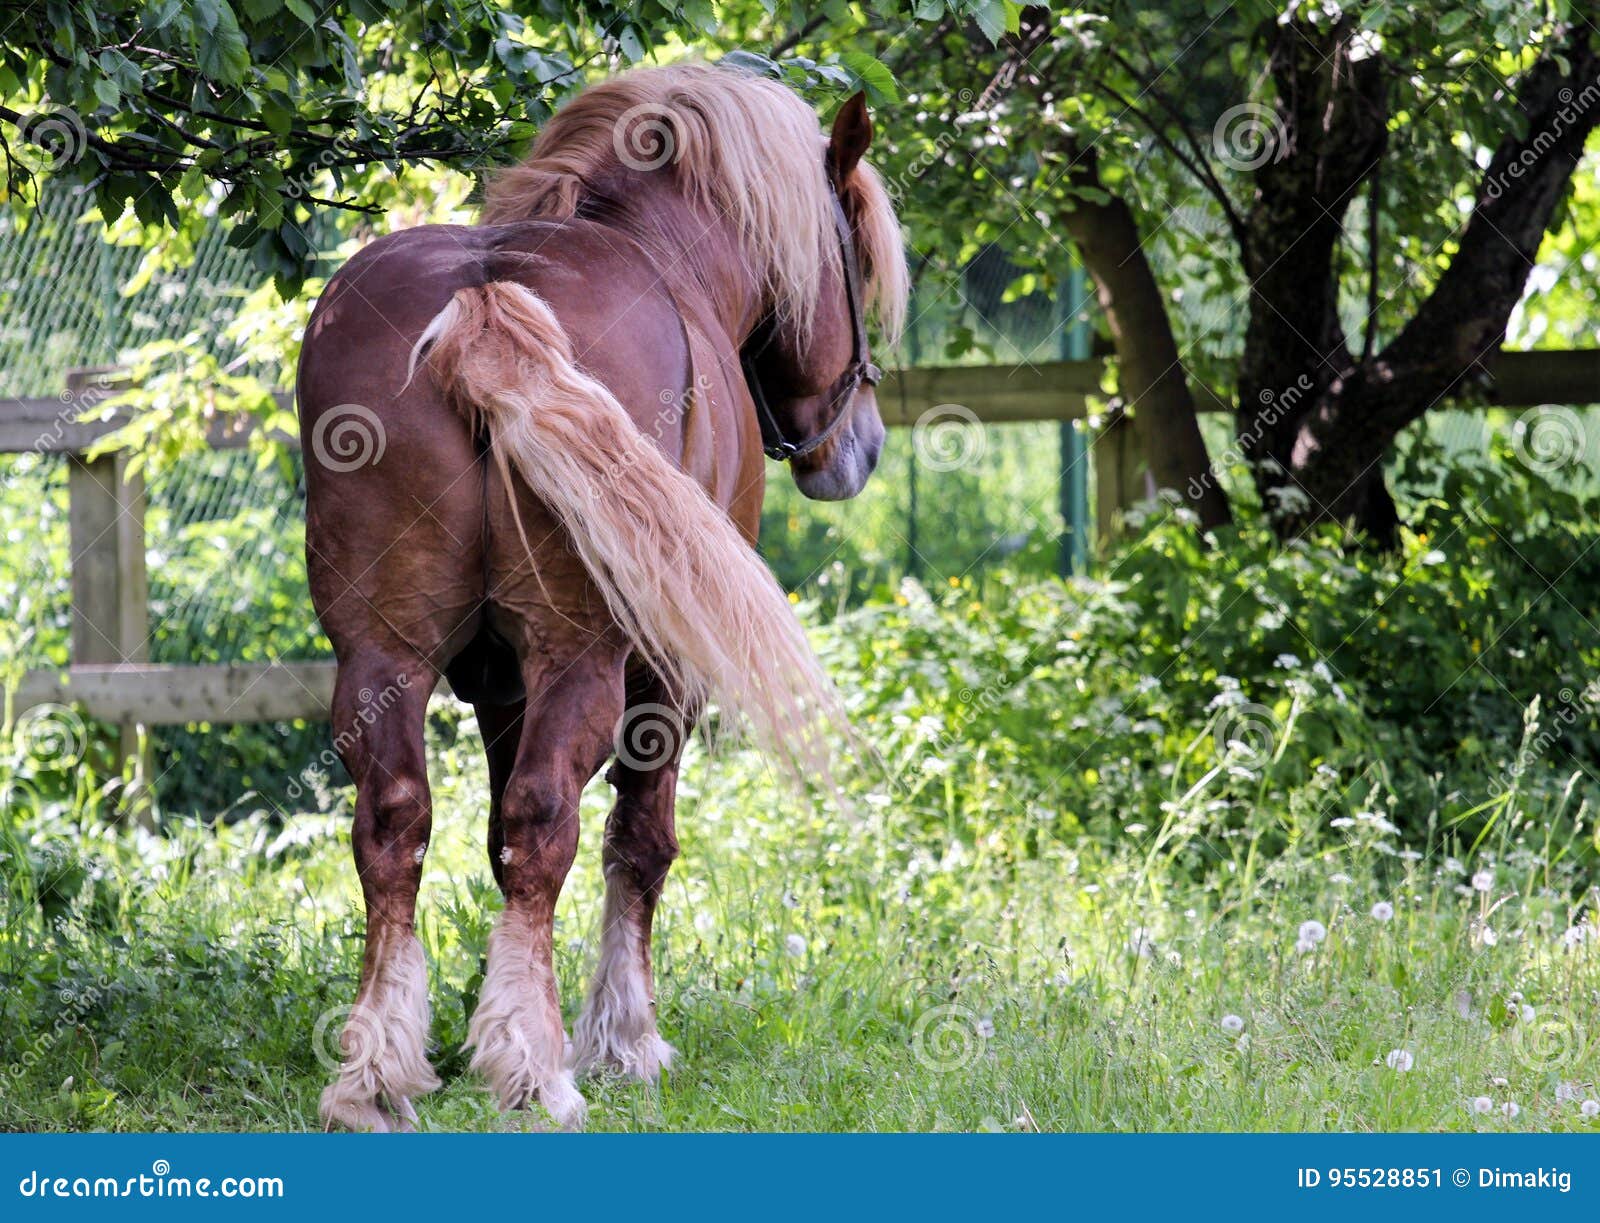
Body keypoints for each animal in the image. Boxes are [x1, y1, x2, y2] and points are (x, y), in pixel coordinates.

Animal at [295, 61, 907, 1131]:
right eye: (856, 267)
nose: (860, 446)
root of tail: (484, 305)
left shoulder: (497, 680)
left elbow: (496, 847)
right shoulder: (667, 669)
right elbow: (638, 841)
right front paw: (625, 1042)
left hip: (385, 658)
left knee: (396, 823)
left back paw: (378, 1073)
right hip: (583, 651)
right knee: (553, 819)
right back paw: (537, 1068)